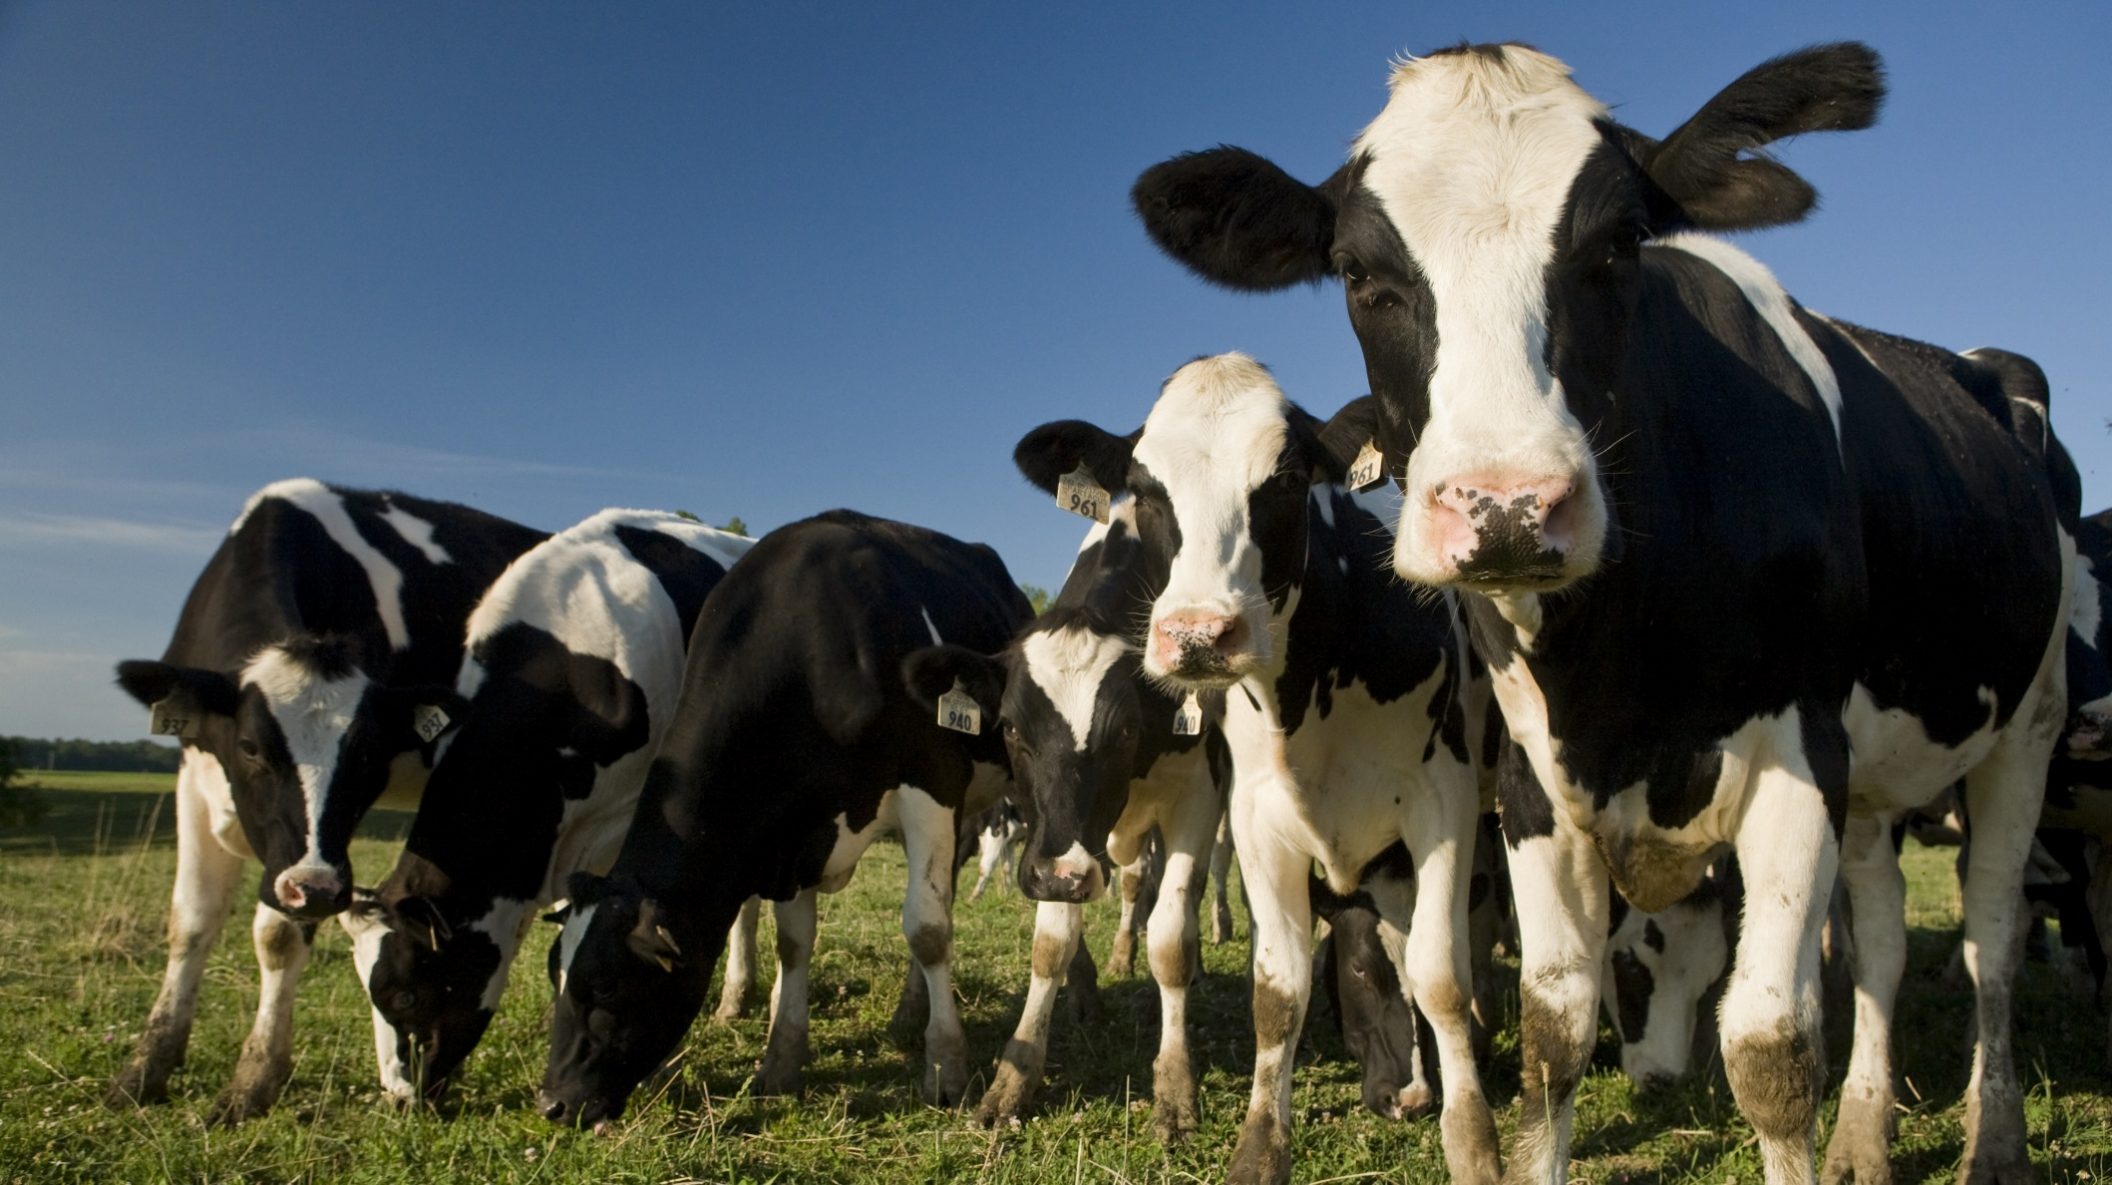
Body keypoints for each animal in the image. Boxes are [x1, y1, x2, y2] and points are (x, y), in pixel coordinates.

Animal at [106, 478, 545, 1122]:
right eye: (250, 747)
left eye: (365, 755)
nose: (313, 888)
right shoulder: (194, 772)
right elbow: (190, 920)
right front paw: (145, 1070)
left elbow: (277, 936)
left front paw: (253, 1081)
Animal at [534, 510, 1029, 1130]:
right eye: (554, 972)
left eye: (605, 985)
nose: (553, 1101)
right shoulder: (794, 830)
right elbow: (794, 942)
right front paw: (781, 1061)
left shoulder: (931, 781)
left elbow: (928, 930)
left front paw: (946, 1068)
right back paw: (908, 1012)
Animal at [965, 360, 1493, 1182]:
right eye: (1143, 488)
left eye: (1286, 481)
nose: (1197, 634)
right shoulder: (1239, 816)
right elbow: (1271, 990)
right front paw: (1013, 1084)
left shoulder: (1443, 802)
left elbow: (1438, 975)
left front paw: (1475, 1144)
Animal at [1131, 41, 2074, 1185]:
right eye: (1357, 273)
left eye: (1620, 244)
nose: (1504, 506)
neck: (1621, 660)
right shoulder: (1534, 780)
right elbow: (1555, 1028)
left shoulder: (1800, 756)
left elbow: (1768, 1046)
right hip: (1880, 780)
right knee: (1887, 941)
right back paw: (1862, 1133)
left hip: (2026, 728)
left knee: (1992, 936)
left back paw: (1995, 1141)